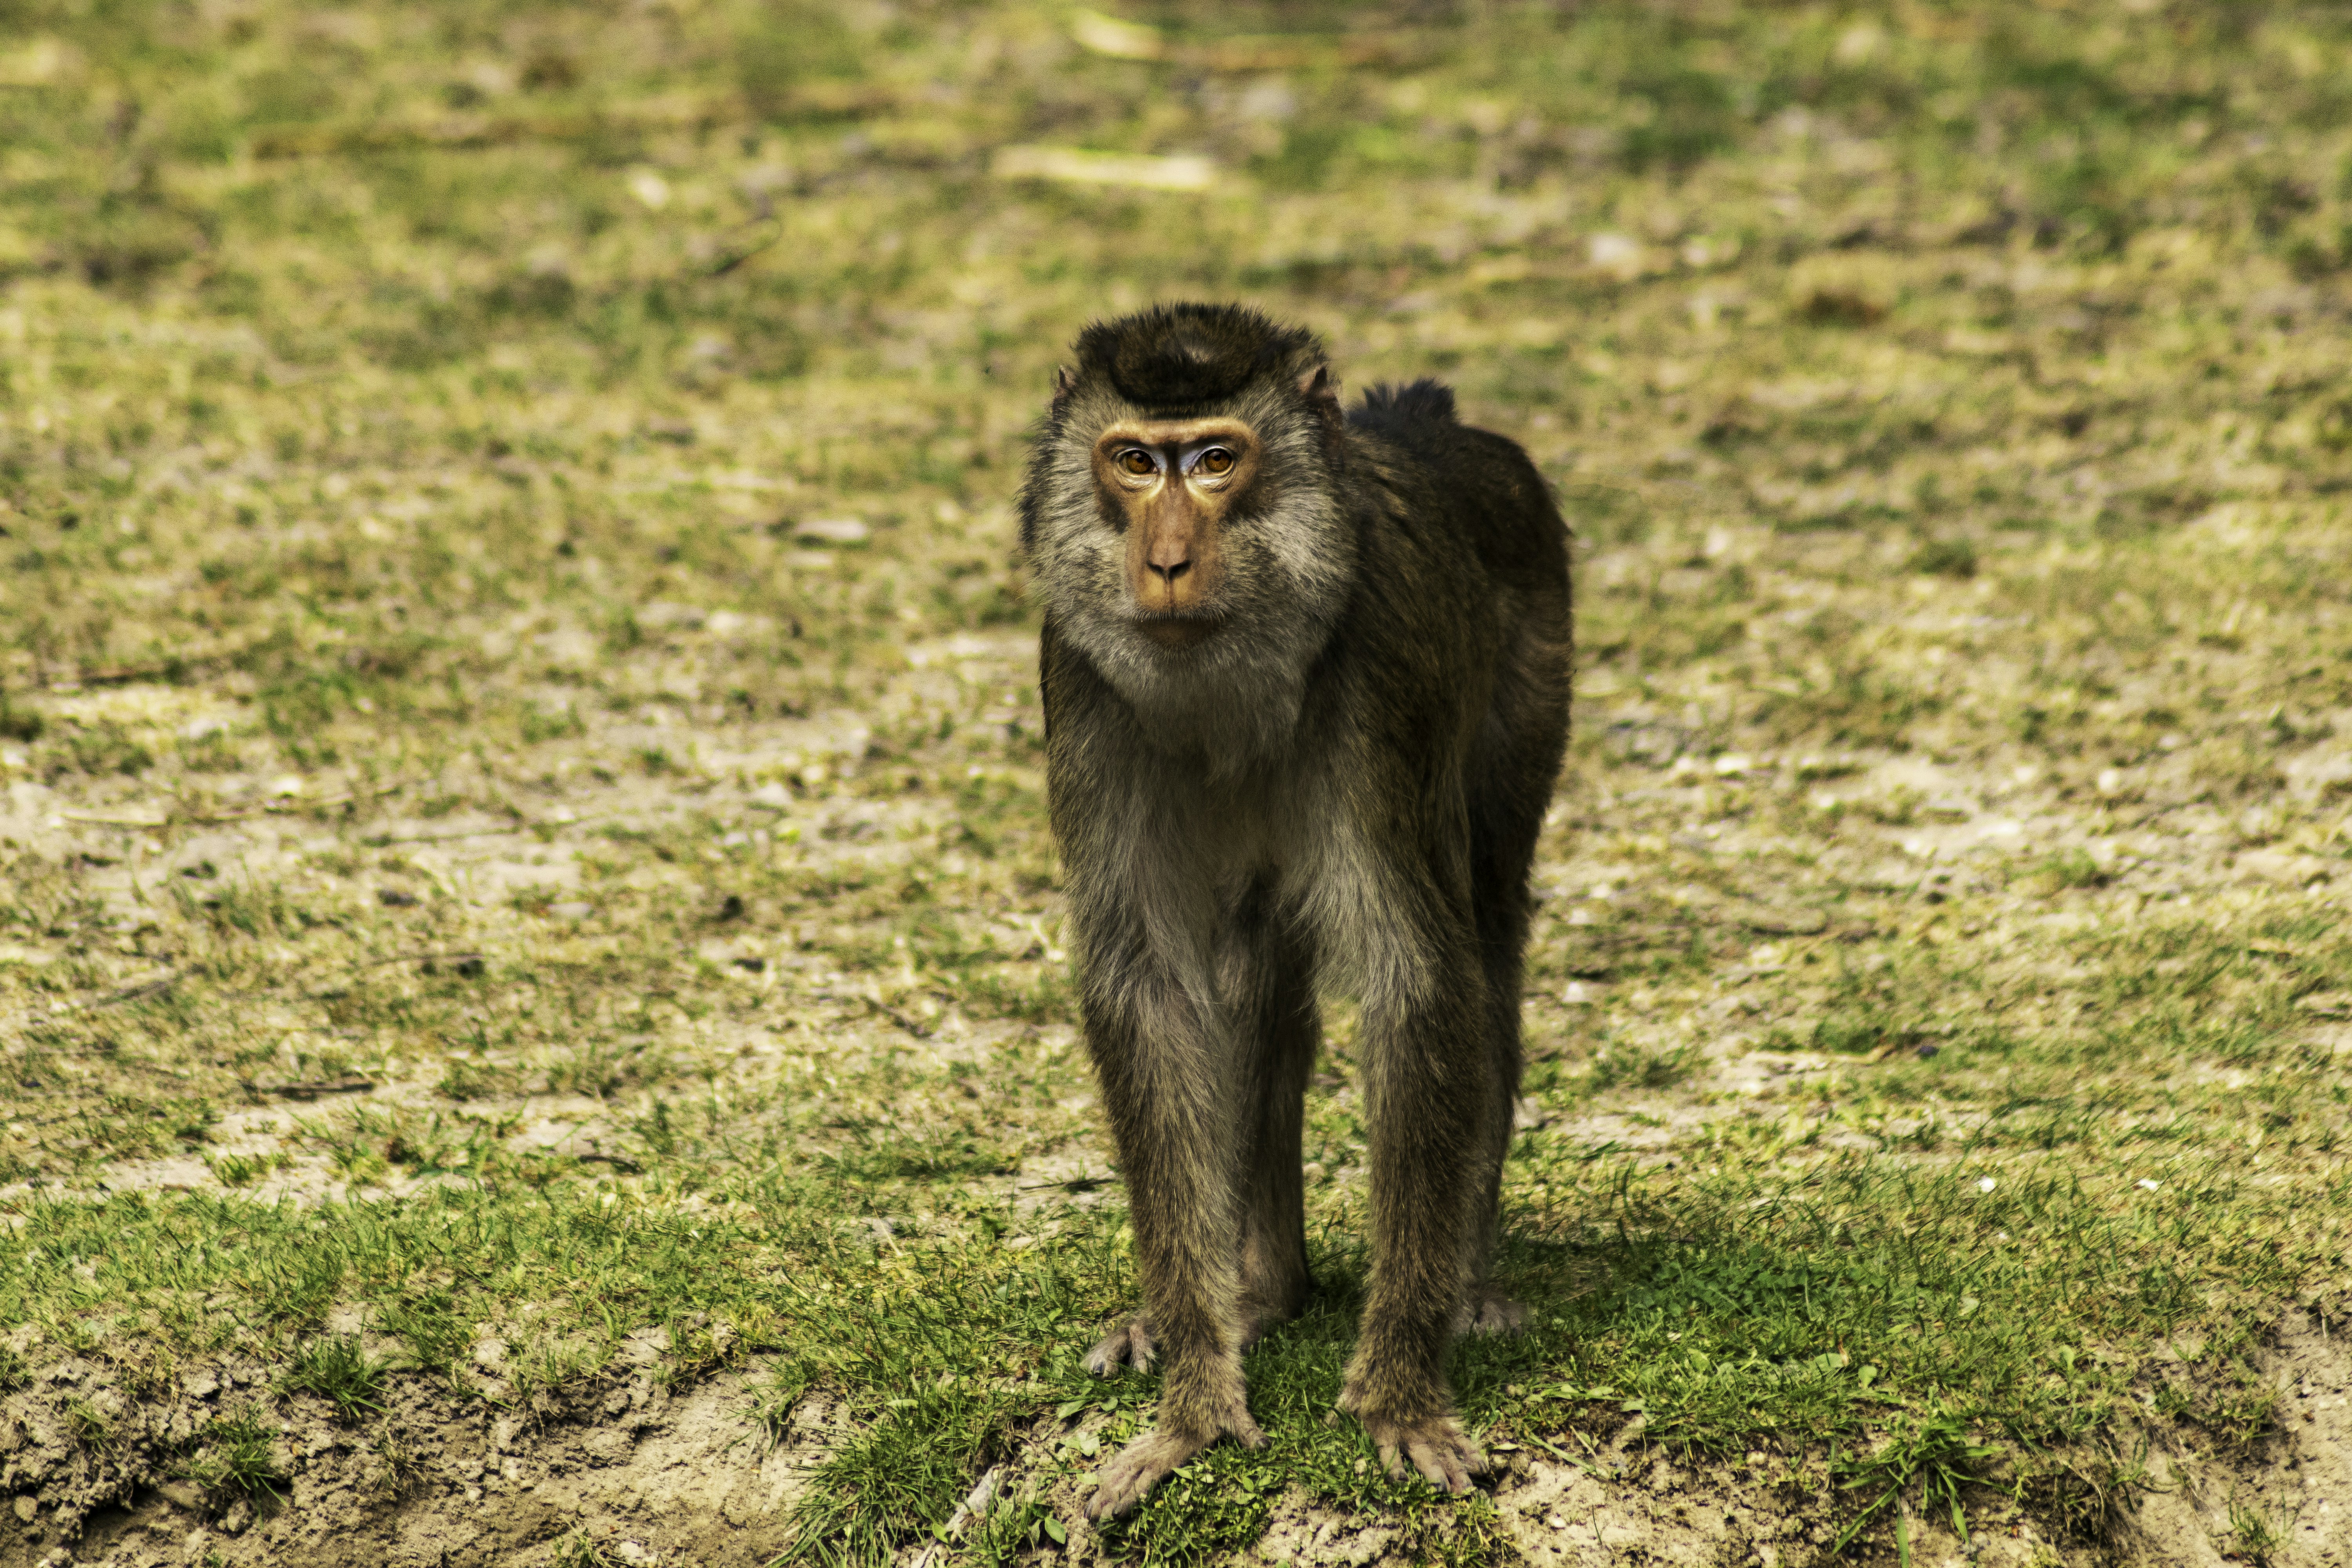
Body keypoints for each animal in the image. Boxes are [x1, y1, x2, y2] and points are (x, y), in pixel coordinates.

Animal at [1018, 303, 1572, 1519]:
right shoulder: (1076, 671)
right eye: (1136, 462)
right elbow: (1153, 993)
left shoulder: (1383, 663)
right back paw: (1260, 1287)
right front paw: (1192, 1394)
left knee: (1487, 929)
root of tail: (1431, 427)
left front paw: (1397, 1389)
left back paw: (1463, 1287)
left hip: (1532, 678)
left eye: (1218, 461)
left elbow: (1421, 981)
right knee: (1250, 967)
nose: (1166, 561)